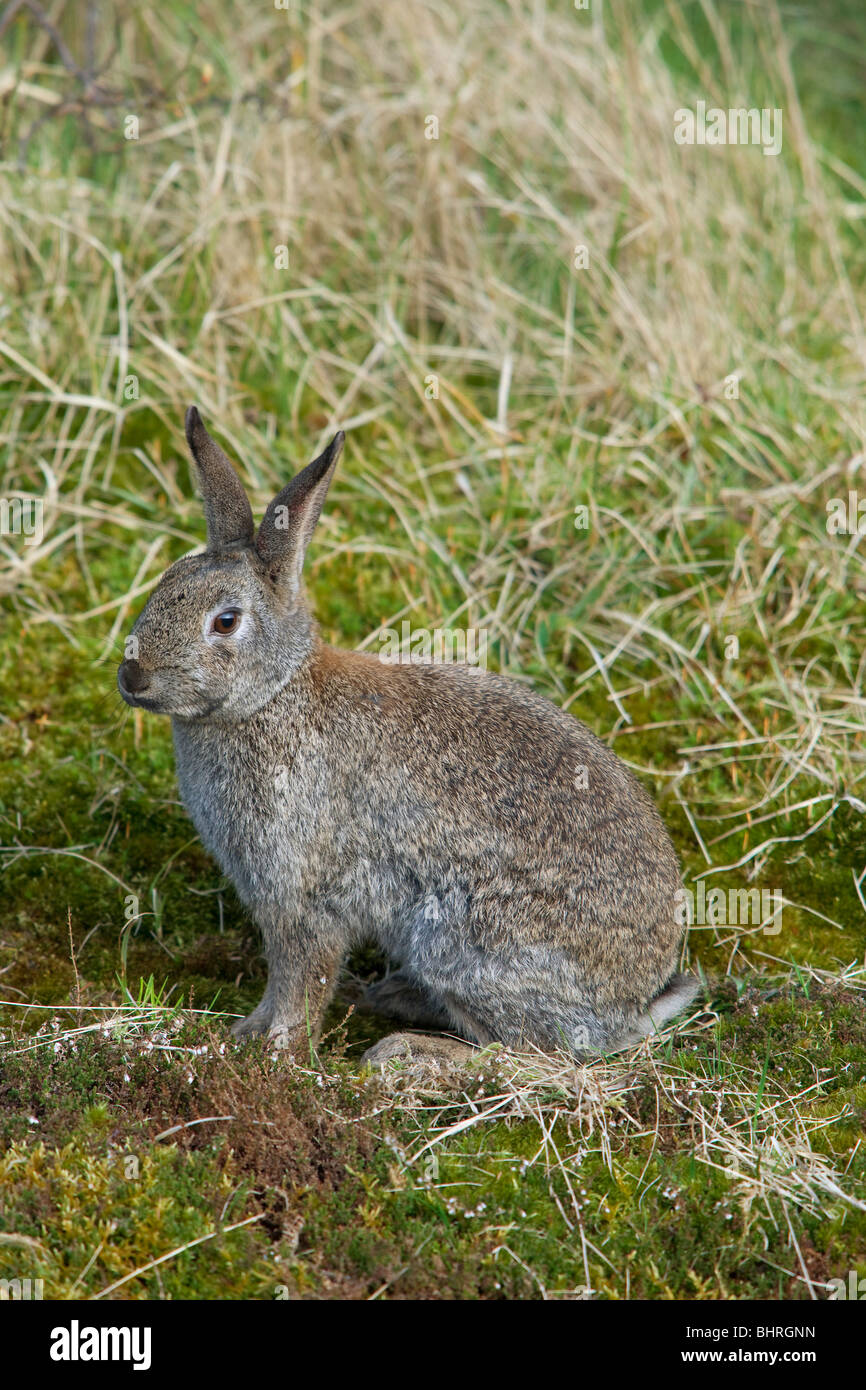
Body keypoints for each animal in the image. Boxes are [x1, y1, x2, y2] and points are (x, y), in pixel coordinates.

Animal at [117, 407, 699, 1068]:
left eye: (225, 621)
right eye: (164, 583)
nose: (131, 677)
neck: (273, 695)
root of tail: (631, 1006)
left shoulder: (303, 897)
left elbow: (300, 981)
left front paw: (274, 1052)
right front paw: (248, 1035)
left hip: (465, 943)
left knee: (525, 1055)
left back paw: (405, 1053)